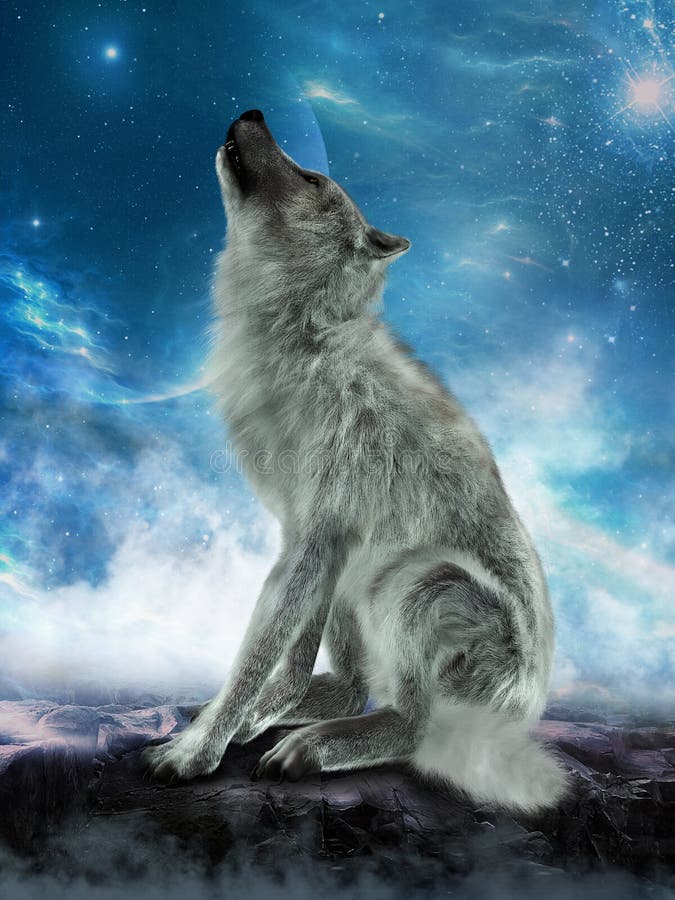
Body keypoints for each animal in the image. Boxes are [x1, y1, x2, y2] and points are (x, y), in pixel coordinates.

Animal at [142, 108, 570, 812]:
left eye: (313, 178)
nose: (253, 113)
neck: (304, 341)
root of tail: (525, 711)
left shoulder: (317, 536)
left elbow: (257, 653)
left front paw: (197, 753)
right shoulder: (308, 536)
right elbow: (286, 661)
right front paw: (241, 721)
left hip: (417, 582)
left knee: (414, 725)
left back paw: (316, 747)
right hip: (358, 580)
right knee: (351, 687)